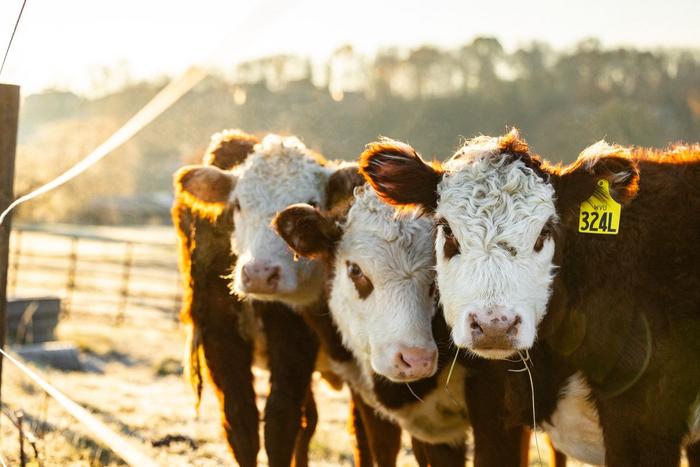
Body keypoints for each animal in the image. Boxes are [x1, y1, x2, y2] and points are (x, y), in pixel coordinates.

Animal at [175, 132, 401, 466]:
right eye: (237, 204)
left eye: (311, 204)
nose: (259, 273)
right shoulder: (219, 338)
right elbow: (242, 424)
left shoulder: (294, 342)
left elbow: (280, 425)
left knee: (361, 433)